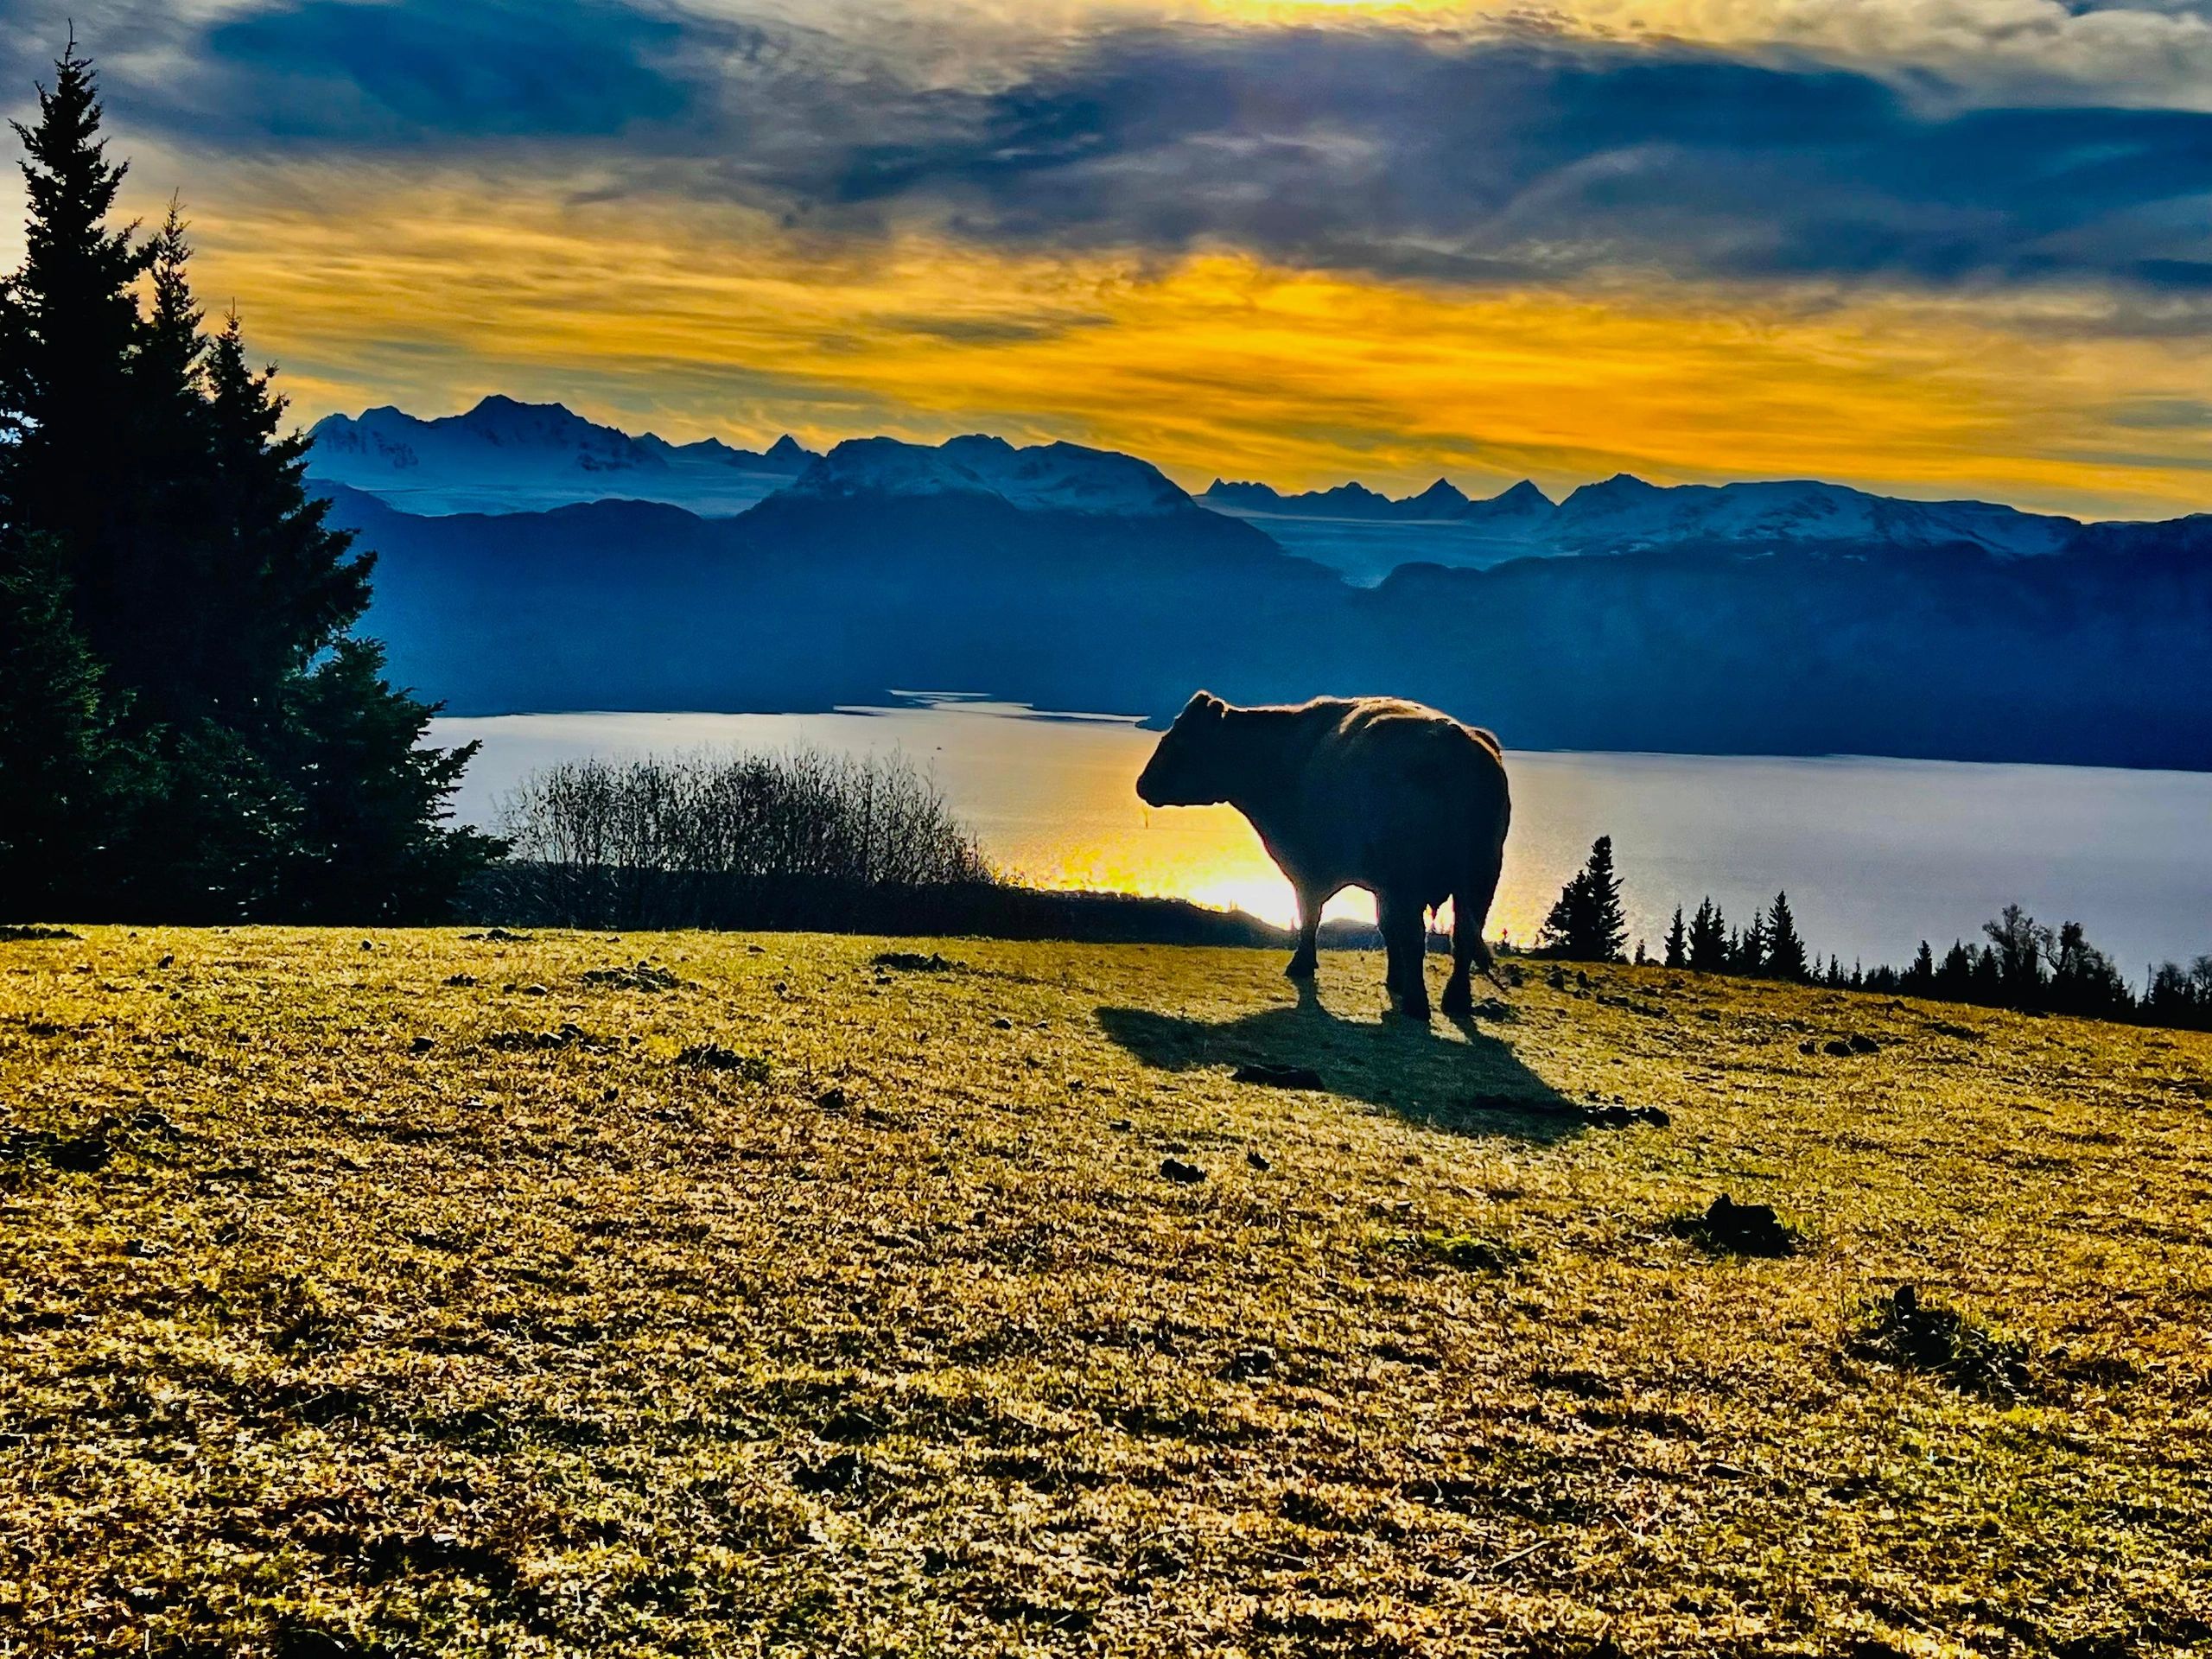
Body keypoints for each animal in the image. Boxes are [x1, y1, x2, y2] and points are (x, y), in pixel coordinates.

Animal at [1135, 692, 1511, 1021]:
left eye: (1179, 741)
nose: (1142, 783)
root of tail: (1457, 744)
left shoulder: (1310, 868)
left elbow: (1310, 914)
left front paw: (1301, 965)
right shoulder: (1383, 886)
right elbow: (1386, 928)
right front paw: (1395, 981)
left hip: (1415, 877)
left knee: (1419, 937)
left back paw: (1418, 1005)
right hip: (1481, 876)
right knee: (1462, 936)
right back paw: (1456, 1000)